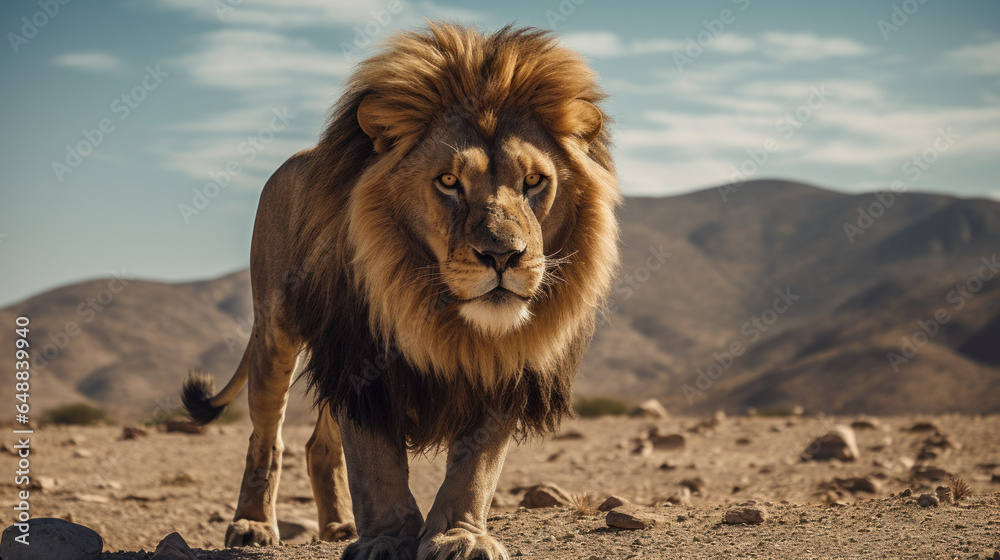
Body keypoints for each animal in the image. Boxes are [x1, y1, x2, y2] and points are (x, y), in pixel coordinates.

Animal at [181, 23, 619, 560]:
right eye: (449, 181)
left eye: (534, 180)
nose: (503, 256)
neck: (443, 316)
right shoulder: (358, 358)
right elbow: (376, 464)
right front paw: (387, 539)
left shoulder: (505, 365)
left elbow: (476, 468)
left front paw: (459, 536)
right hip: (275, 335)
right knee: (266, 437)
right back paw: (252, 526)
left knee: (319, 444)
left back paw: (339, 526)